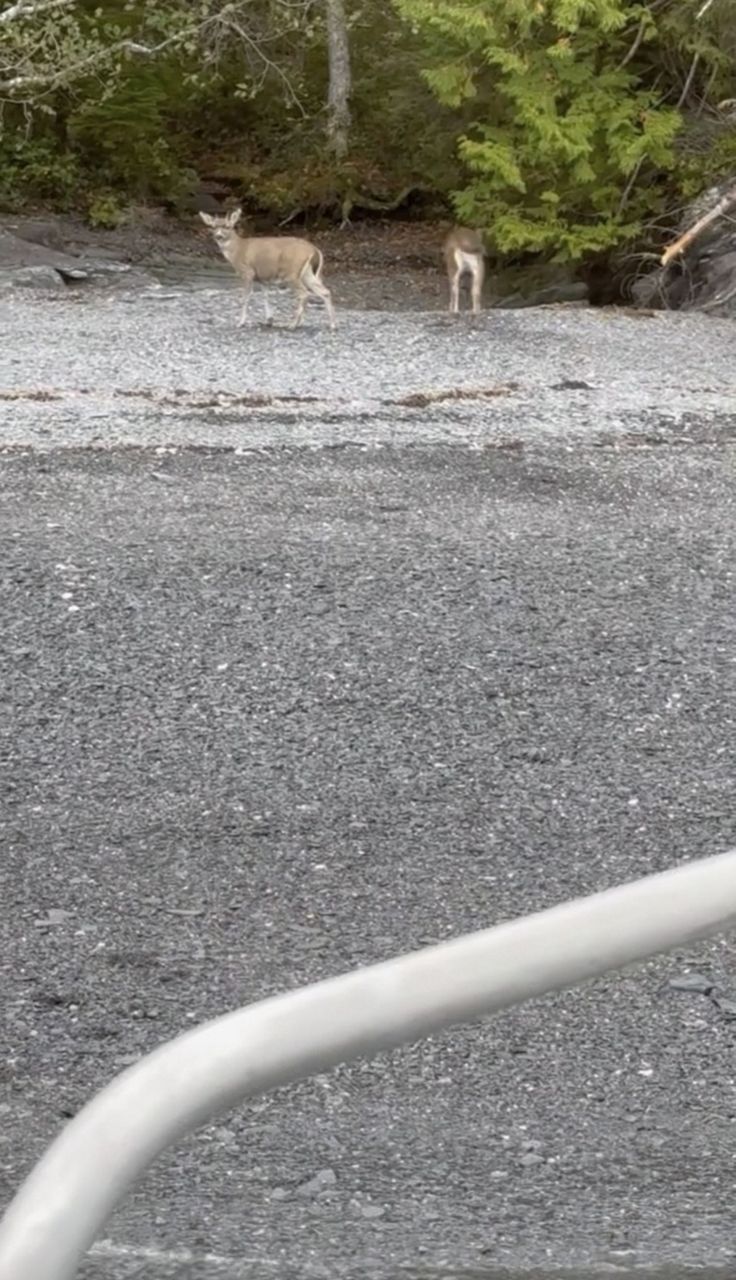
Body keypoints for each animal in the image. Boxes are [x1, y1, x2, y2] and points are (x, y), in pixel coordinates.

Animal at [199, 208, 335, 330]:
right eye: (212, 227)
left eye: (227, 226)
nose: (218, 236)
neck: (237, 250)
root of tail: (315, 250)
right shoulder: (262, 278)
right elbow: (265, 296)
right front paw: (269, 320)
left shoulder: (247, 272)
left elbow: (245, 298)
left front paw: (240, 322)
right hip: (307, 274)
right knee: (325, 291)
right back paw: (331, 324)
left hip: (292, 273)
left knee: (304, 294)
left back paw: (293, 324)